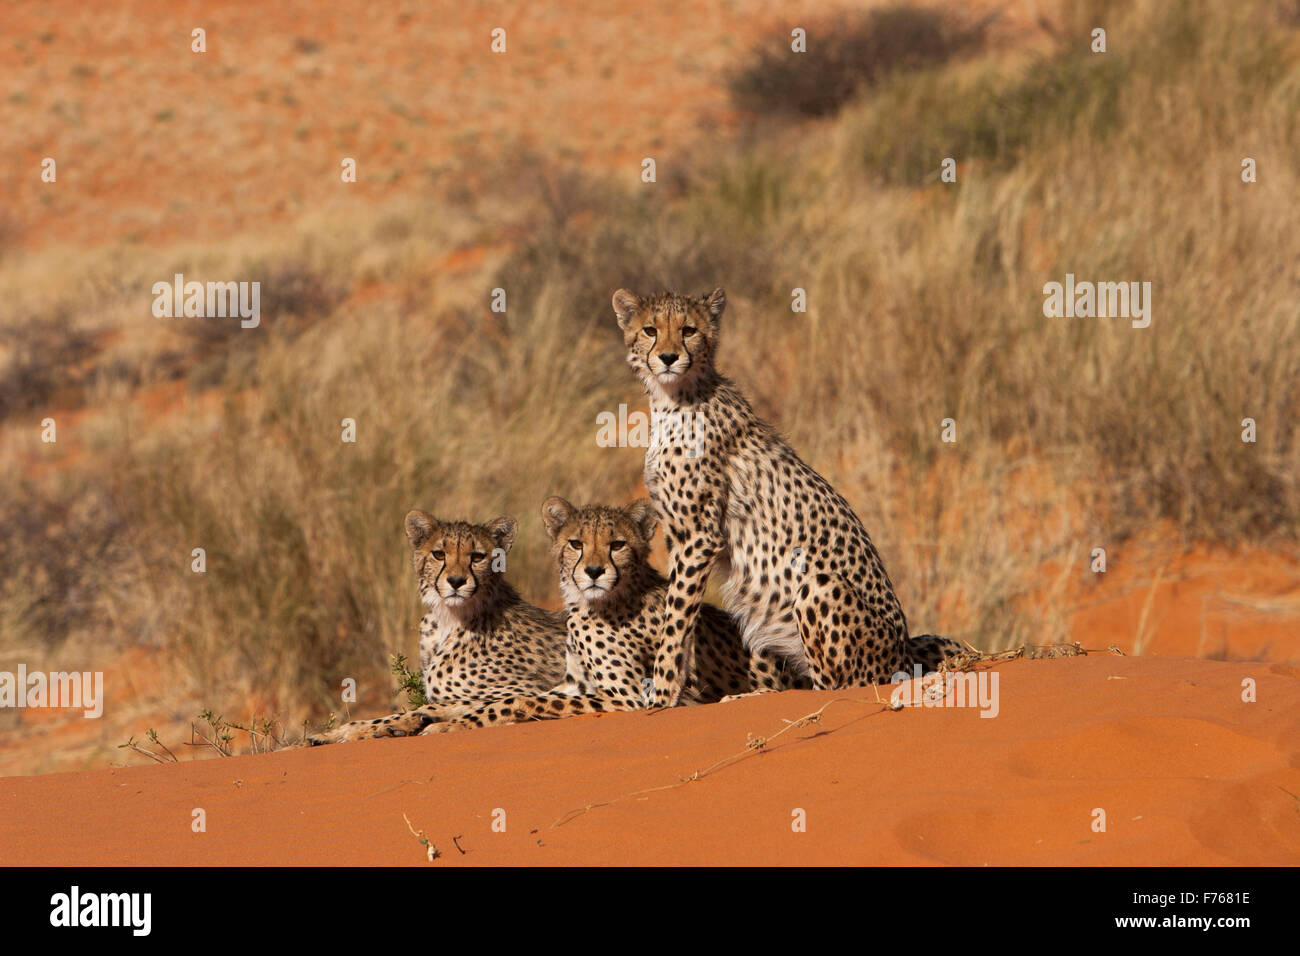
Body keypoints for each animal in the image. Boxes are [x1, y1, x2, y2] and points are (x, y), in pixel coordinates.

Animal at [611, 286, 965, 707]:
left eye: (689, 330)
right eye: (650, 330)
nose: (667, 357)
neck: (673, 398)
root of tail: (902, 656)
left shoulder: (699, 536)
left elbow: (677, 617)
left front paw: (663, 694)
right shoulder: (679, 533)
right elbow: (675, 607)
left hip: (818, 584)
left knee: (833, 687)